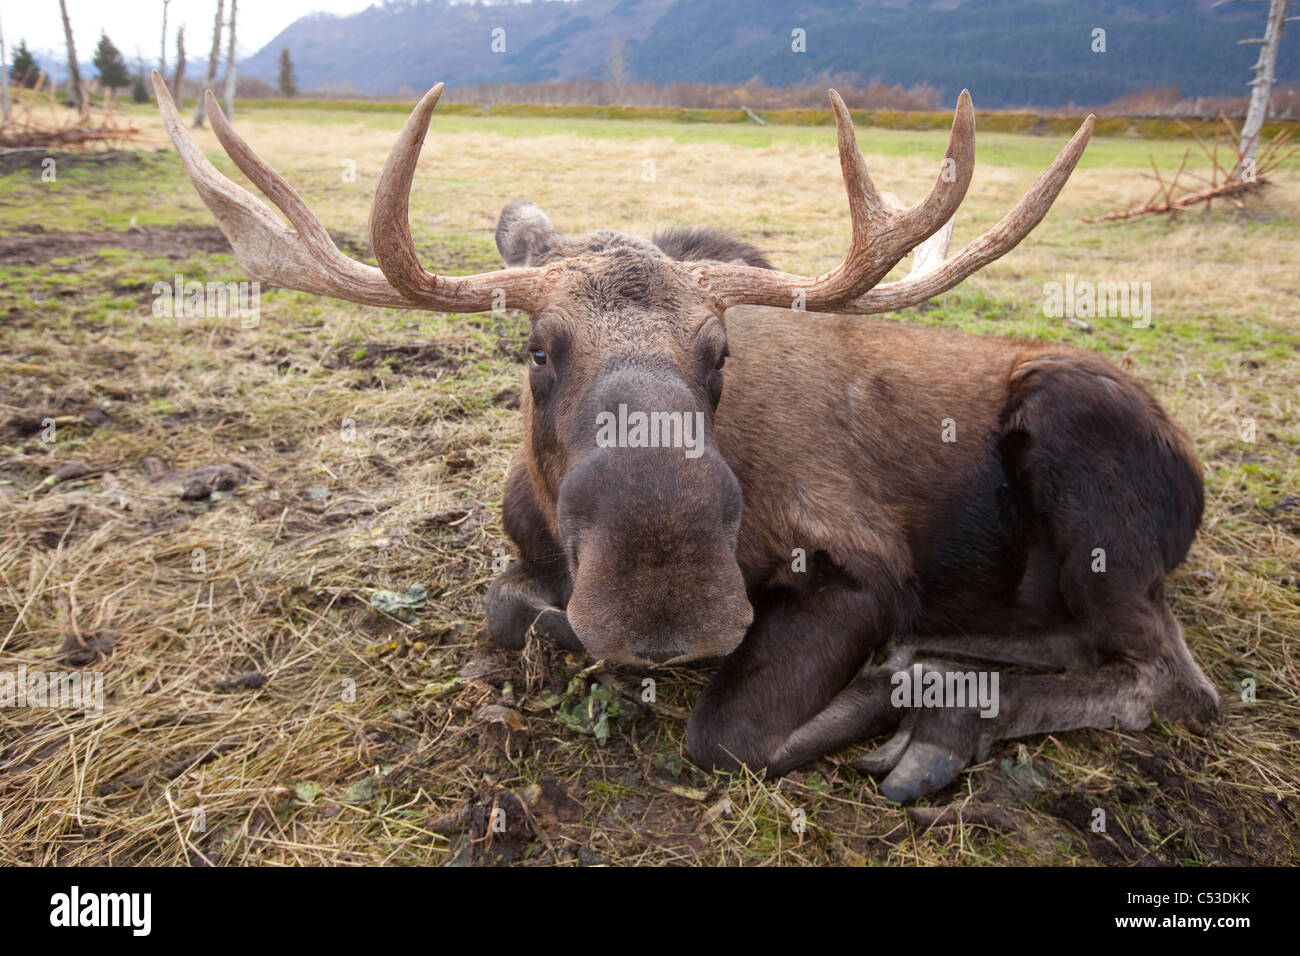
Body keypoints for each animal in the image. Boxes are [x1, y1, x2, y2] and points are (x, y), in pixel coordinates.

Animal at [153, 73, 1218, 802]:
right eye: (537, 349)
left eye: (719, 351)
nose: (663, 600)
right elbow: (511, 612)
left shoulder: (863, 568)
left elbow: (726, 733)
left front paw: (897, 683)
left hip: (1076, 431)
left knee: (1171, 680)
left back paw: (949, 705)